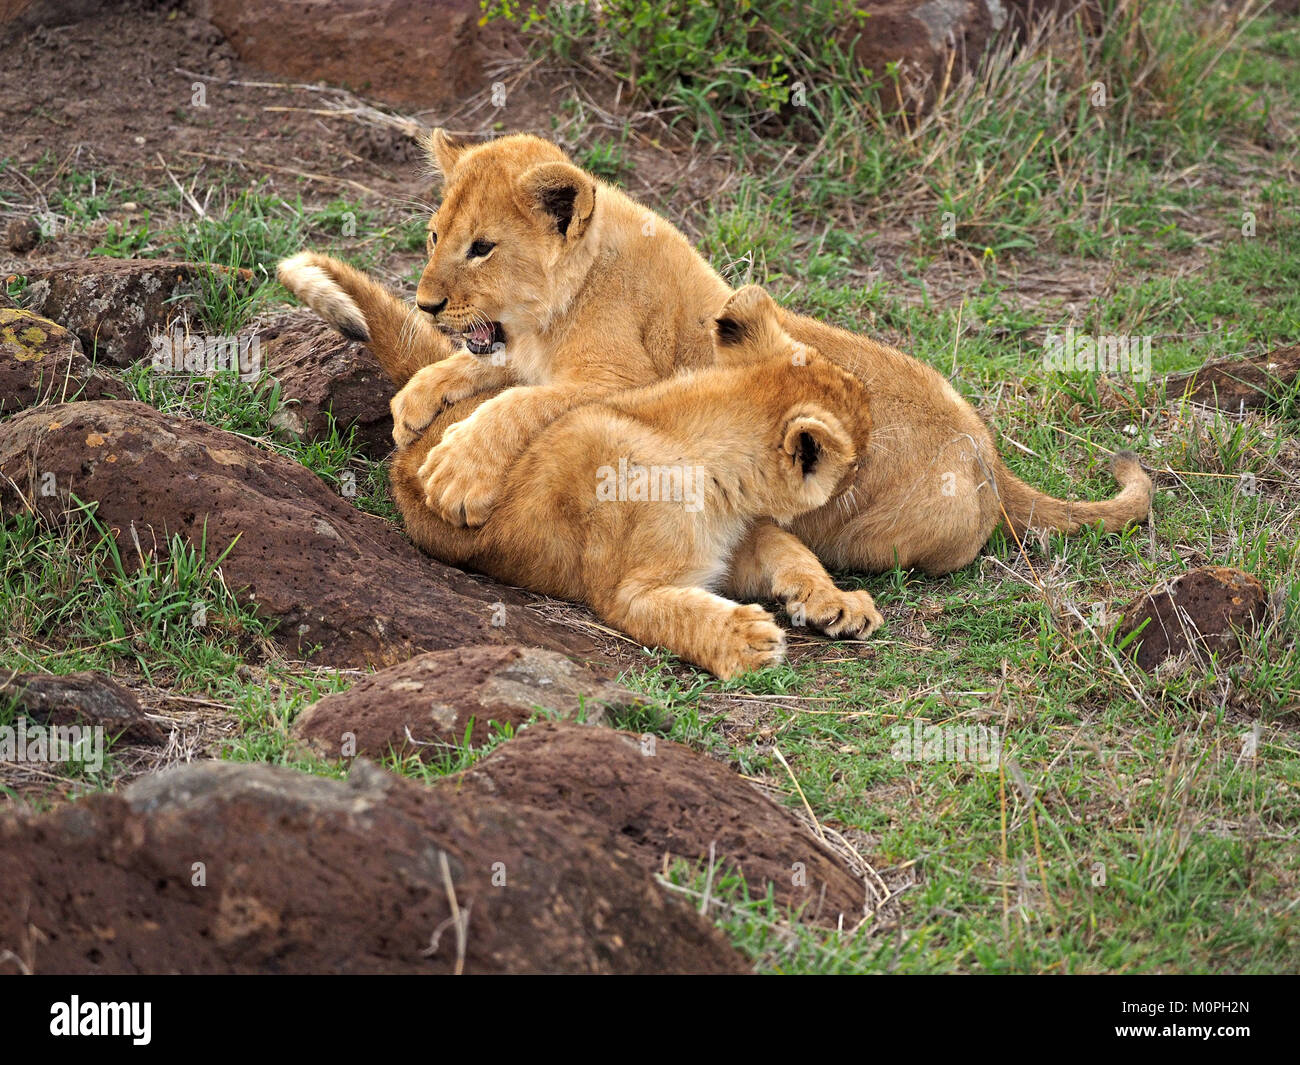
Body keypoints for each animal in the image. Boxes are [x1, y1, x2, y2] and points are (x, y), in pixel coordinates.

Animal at [278, 130, 1152, 581]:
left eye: (482, 247)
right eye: (433, 237)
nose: (427, 302)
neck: (559, 305)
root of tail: (989, 453)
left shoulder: (624, 380)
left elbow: (528, 398)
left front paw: (457, 467)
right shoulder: (521, 351)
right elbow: (485, 368)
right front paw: (418, 397)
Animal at [376, 285, 880, 678]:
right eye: (856, 461)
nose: (863, 475)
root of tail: (406, 455)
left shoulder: (731, 541)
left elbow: (789, 548)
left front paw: (837, 602)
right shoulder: (622, 591)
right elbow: (676, 613)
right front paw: (743, 638)